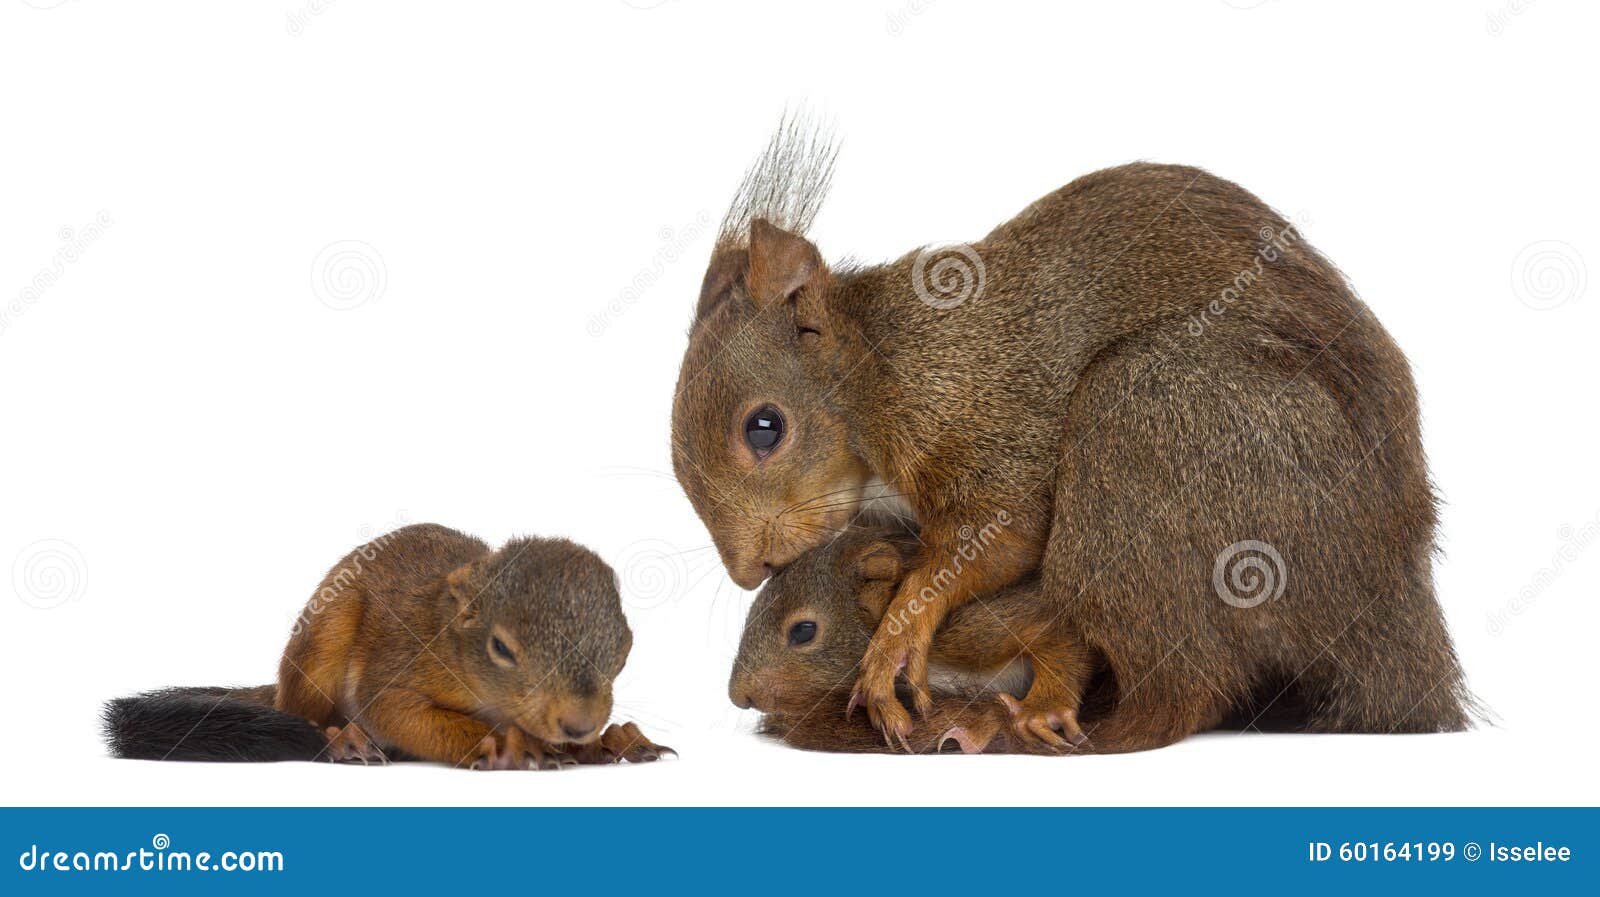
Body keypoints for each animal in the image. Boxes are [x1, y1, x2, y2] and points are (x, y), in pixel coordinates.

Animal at [104, 523, 672, 768]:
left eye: (624, 651)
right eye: (502, 649)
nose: (579, 724)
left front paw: (607, 741)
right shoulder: (404, 661)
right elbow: (396, 712)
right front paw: (502, 745)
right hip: (321, 646)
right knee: (307, 714)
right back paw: (342, 741)